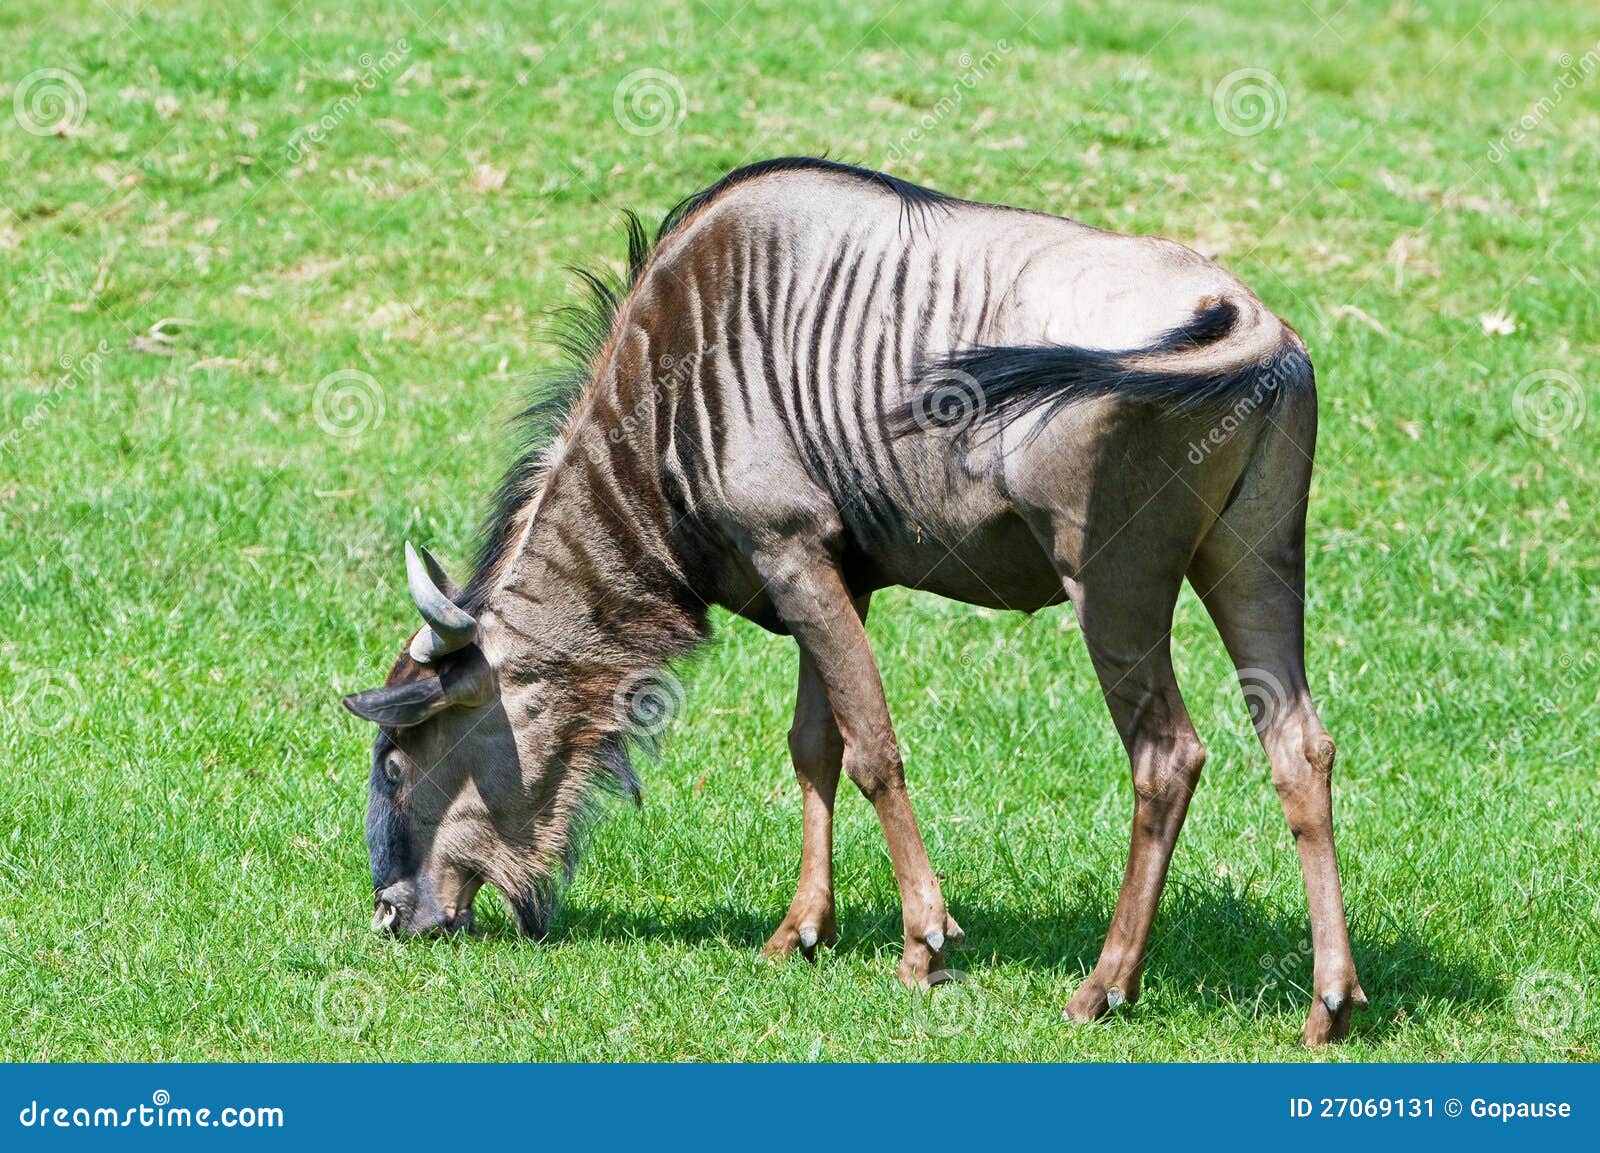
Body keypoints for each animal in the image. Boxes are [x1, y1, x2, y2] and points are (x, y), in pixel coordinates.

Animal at [343, 158, 1365, 1044]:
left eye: (396, 758)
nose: (391, 915)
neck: (674, 383)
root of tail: (1250, 323)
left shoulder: (793, 550)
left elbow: (872, 746)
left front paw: (924, 942)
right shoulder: (835, 574)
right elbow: (815, 744)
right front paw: (802, 928)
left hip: (1114, 584)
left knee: (1167, 756)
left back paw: (1105, 985)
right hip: (1255, 563)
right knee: (1299, 746)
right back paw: (1331, 1002)